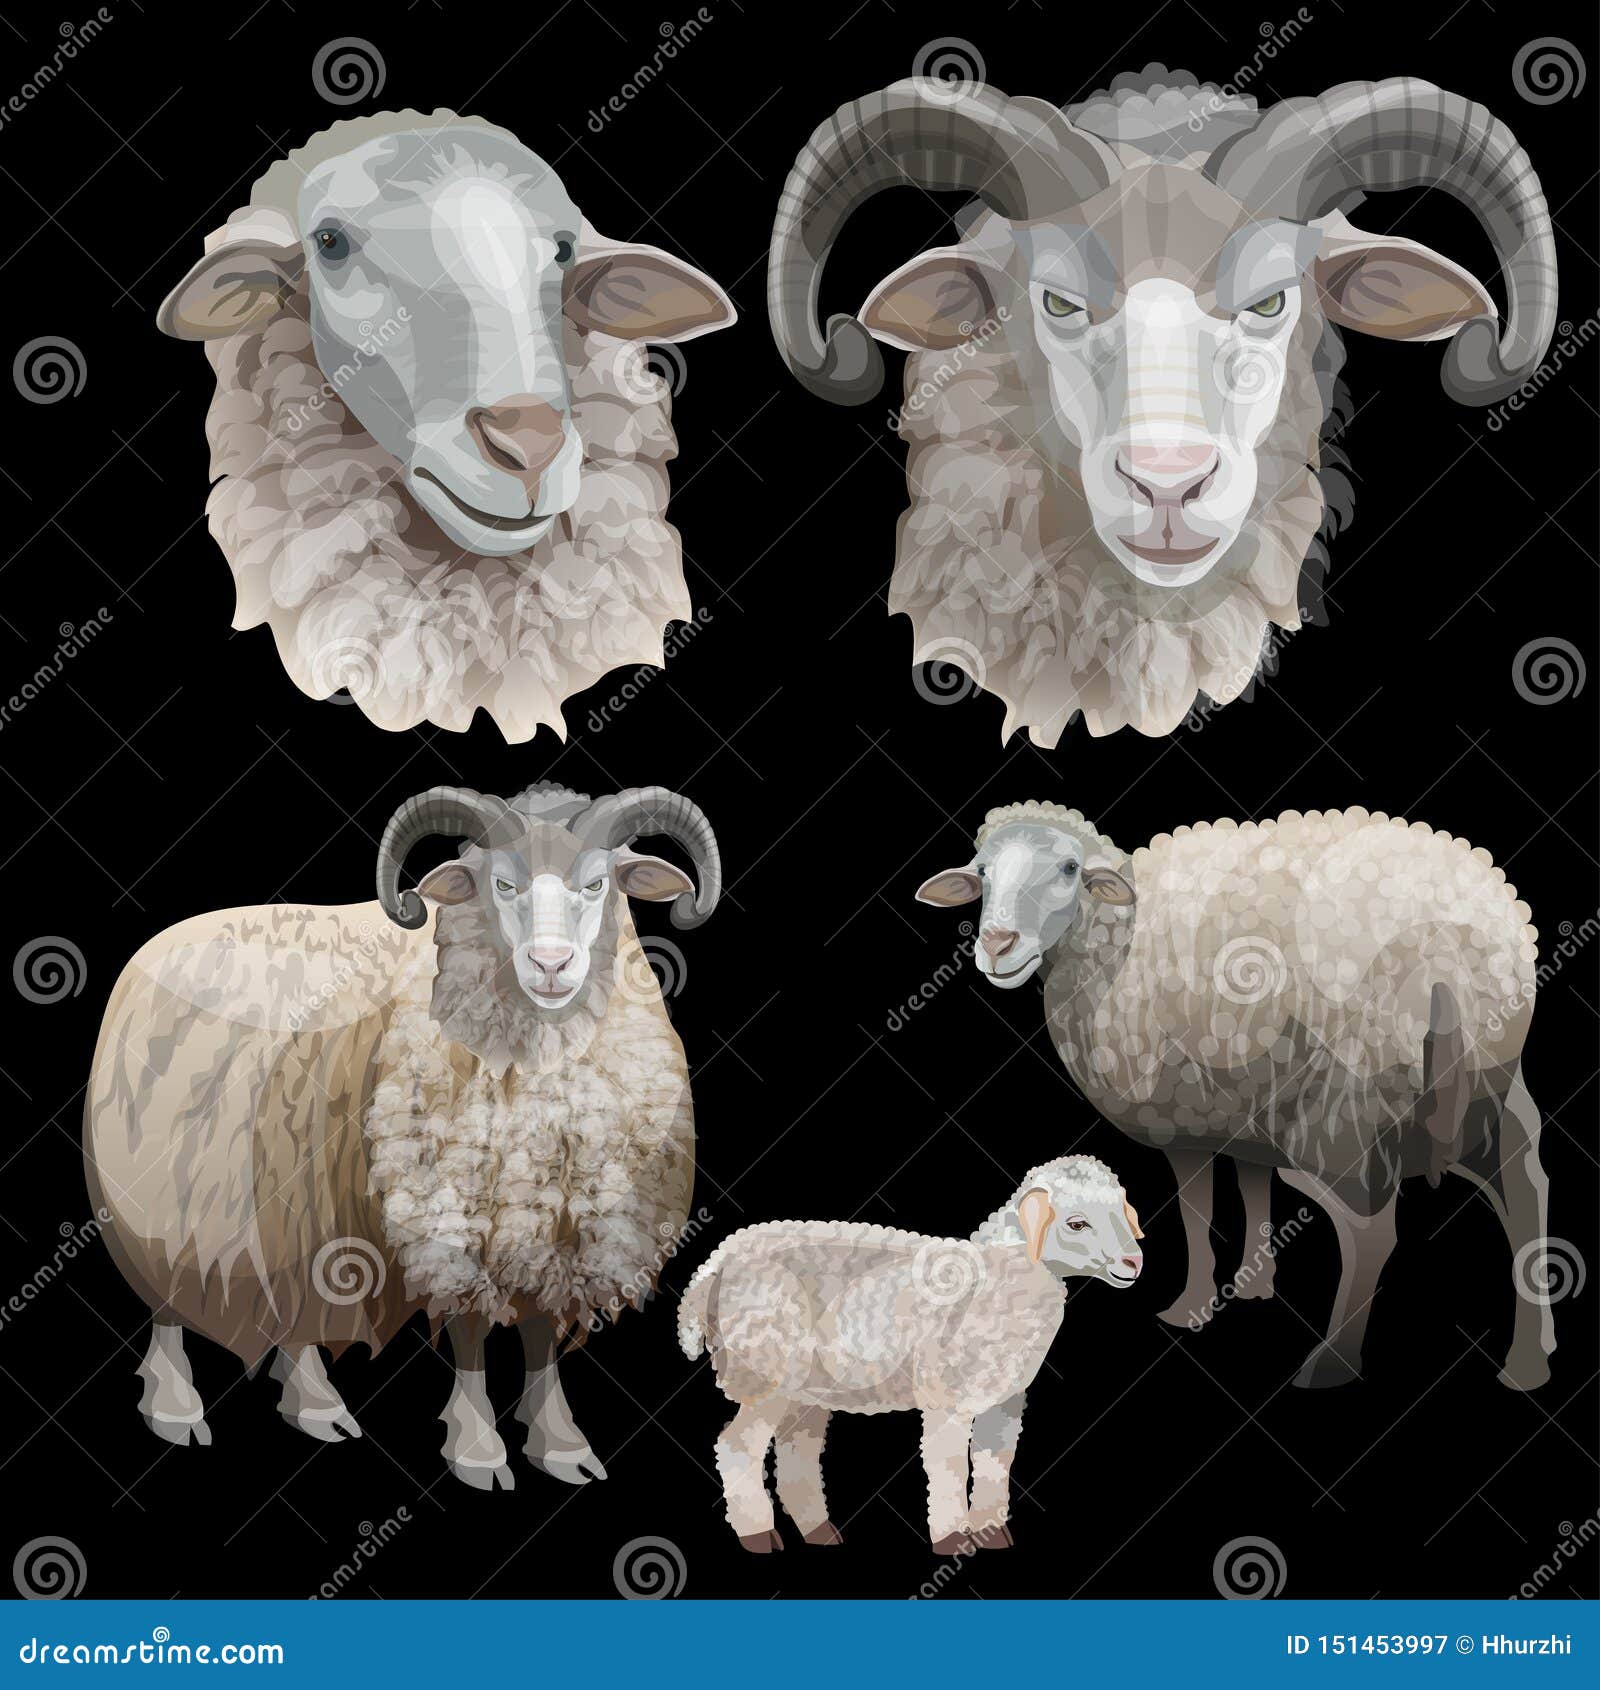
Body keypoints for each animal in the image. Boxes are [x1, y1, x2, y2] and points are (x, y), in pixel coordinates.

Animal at [84, 781, 720, 1491]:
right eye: (500, 883)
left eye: (598, 883)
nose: (551, 965)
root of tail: (155, 946)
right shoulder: (451, 1208)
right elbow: (470, 1331)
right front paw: (478, 1451)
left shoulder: (553, 1225)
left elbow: (539, 1335)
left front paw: (560, 1444)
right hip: (157, 1190)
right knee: (165, 1299)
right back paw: (175, 1408)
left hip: (290, 1193)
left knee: (297, 1295)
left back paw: (316, 1407)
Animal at [679, 1153, 1144, 1552]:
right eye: (1077, 1223)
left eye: (1122, 1212)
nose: (1133, 1263)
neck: (993, 1281)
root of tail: (718, 1261)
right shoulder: (947, 1396)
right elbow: (949, 1465)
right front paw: (952, 1538)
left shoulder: (1006, 1399)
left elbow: (995, 1462)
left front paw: (991, 1534)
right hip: (765, 1368)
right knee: (738, 1447)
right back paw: (758, 1536)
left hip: (809, 1388)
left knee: (798, 1452)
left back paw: (819, 1531)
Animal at [916, 802, 1553, 1391]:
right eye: (981, 873)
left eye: (1069, 868)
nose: (998, 944)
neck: (1113, 943)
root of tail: (1448, 956)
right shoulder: (1243, 1113)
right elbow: (1252, 1193)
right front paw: (1254, 1283)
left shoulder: (1181, 1121)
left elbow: (1196, 1214)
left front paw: (1192, 1306)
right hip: (1497, 1086)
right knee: (1527, 1195)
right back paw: (1530, 1362)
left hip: (1347, 1103)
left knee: (1370, 1231)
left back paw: (1332, 1364)